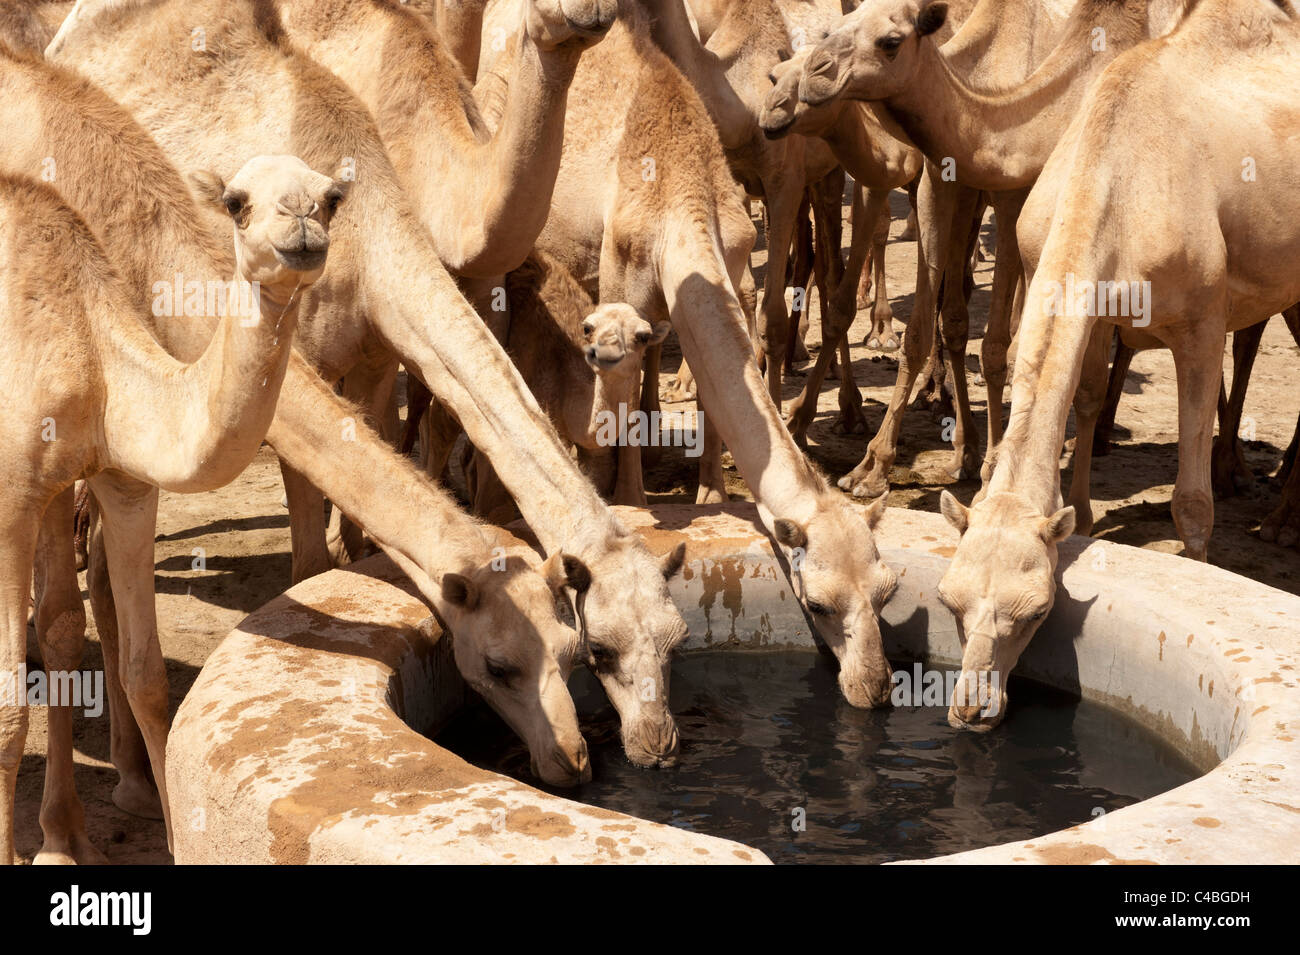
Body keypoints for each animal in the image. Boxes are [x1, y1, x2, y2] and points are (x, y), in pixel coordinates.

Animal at [0, 152, 348, 864]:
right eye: (237, 203)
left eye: (332, 198)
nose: (300, 221)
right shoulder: (9, 502)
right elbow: (8, 714)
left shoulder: (117, 478)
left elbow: (147, 676)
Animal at [46, 0, 691, 771]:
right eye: (604, 649)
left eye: (676, 641)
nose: (655, 744)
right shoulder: (294, 354)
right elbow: (307, 544)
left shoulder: (381, 354)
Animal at [479, 2, 904, 710]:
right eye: (817, 604)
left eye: (887, 592)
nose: (872, 688)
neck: (682, 191)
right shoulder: (620, 275)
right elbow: (620, 389)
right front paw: (630, 497)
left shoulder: (727, 260)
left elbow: (714, 379)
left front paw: (709, 492)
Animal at [936, 0, 1300, 731]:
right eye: (948, 602)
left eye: (1034, 612)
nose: (973, 709)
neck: (1112, 174)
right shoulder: (1089, 300)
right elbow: (1079, 391)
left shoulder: (1201, 322)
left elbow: (1193, 504)